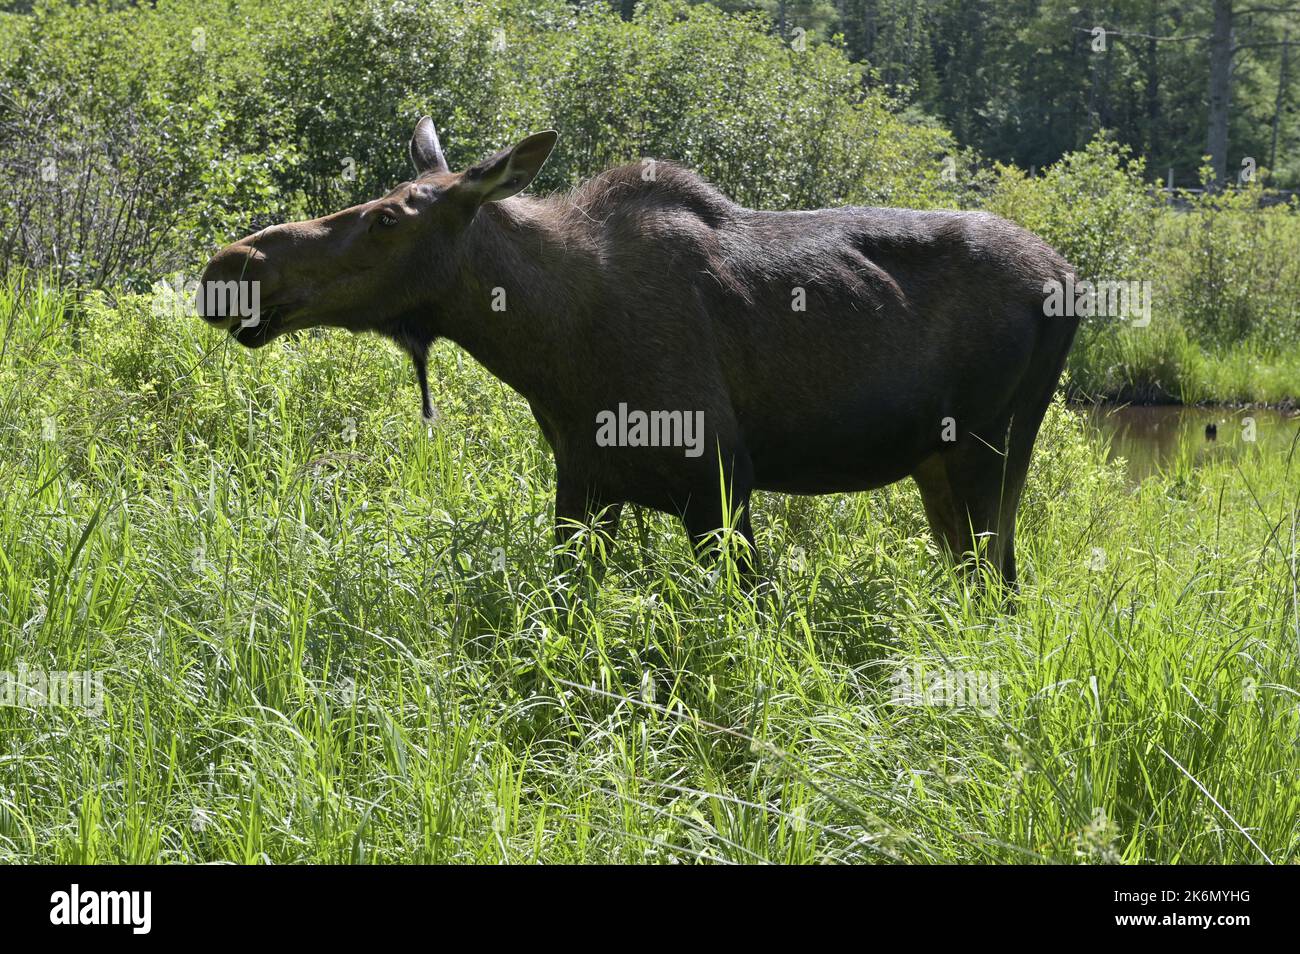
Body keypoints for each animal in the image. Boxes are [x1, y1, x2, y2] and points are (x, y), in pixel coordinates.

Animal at [199, 118, 1079, 587]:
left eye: (388, 217)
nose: (231, 267)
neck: (547, 349)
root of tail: (1072, 277)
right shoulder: (584, 485)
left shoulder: (719, 484)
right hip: (942, 466)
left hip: (991, 449)